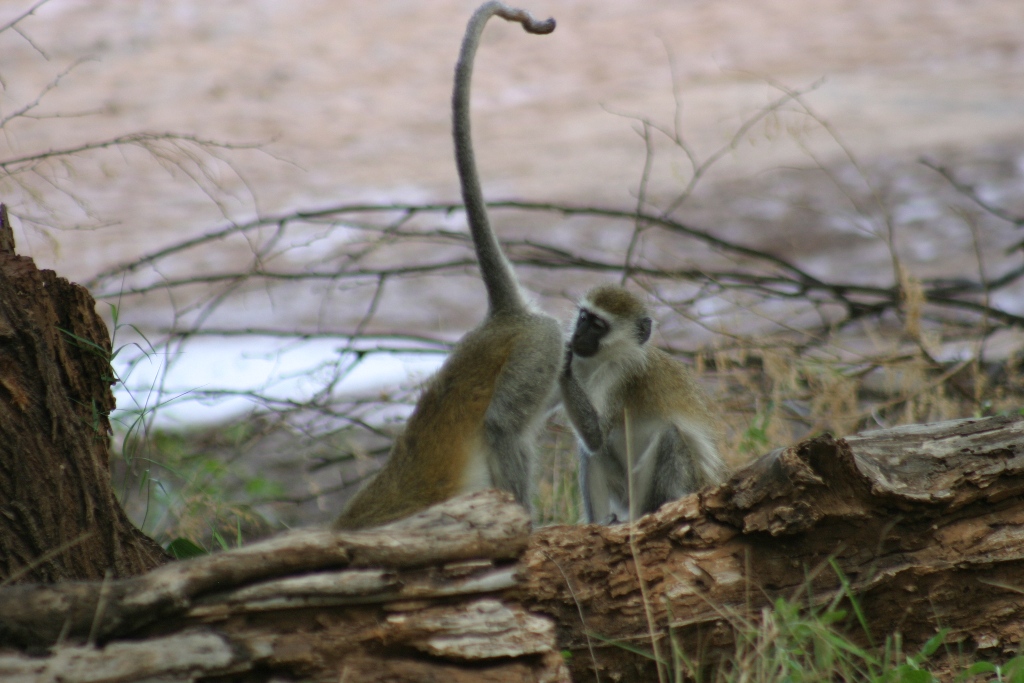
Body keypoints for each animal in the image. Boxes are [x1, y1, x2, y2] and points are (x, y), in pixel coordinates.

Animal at [559, 284, 728, 524]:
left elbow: (595, 435)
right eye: (583, 317)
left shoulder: (621, 374)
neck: (604, 359)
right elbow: (594, 443)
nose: (578, 334)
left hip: (682, 487)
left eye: (598, 326)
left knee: (670, 436)